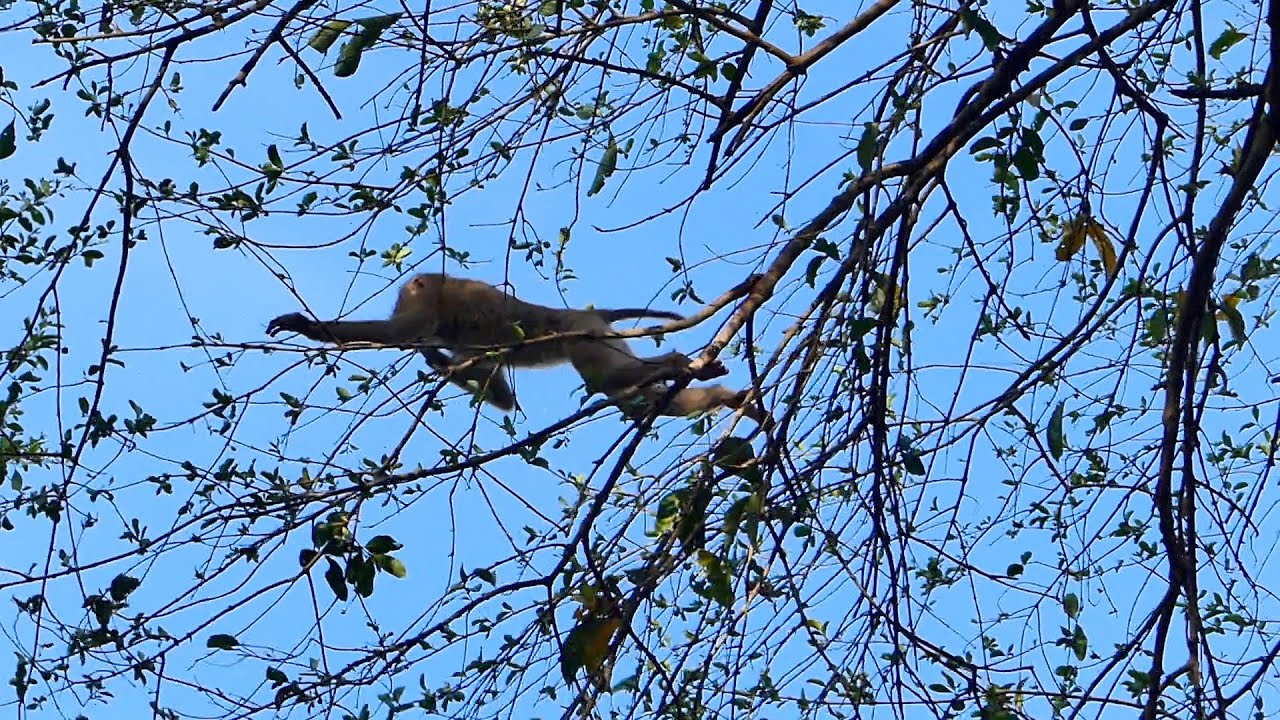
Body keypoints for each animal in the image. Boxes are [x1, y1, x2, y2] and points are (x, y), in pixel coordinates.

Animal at [266, 273, 765, 422]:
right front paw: (435, 359)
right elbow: (502, 398)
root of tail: (593, 313)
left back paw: (678, 364)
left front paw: (304, 325)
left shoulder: (428, 306)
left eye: (409, 293)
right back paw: (716, 391)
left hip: (581, 333)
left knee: (606, 377)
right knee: (630, 393)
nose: (407, 291)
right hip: (594, 334)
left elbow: (393, 332)